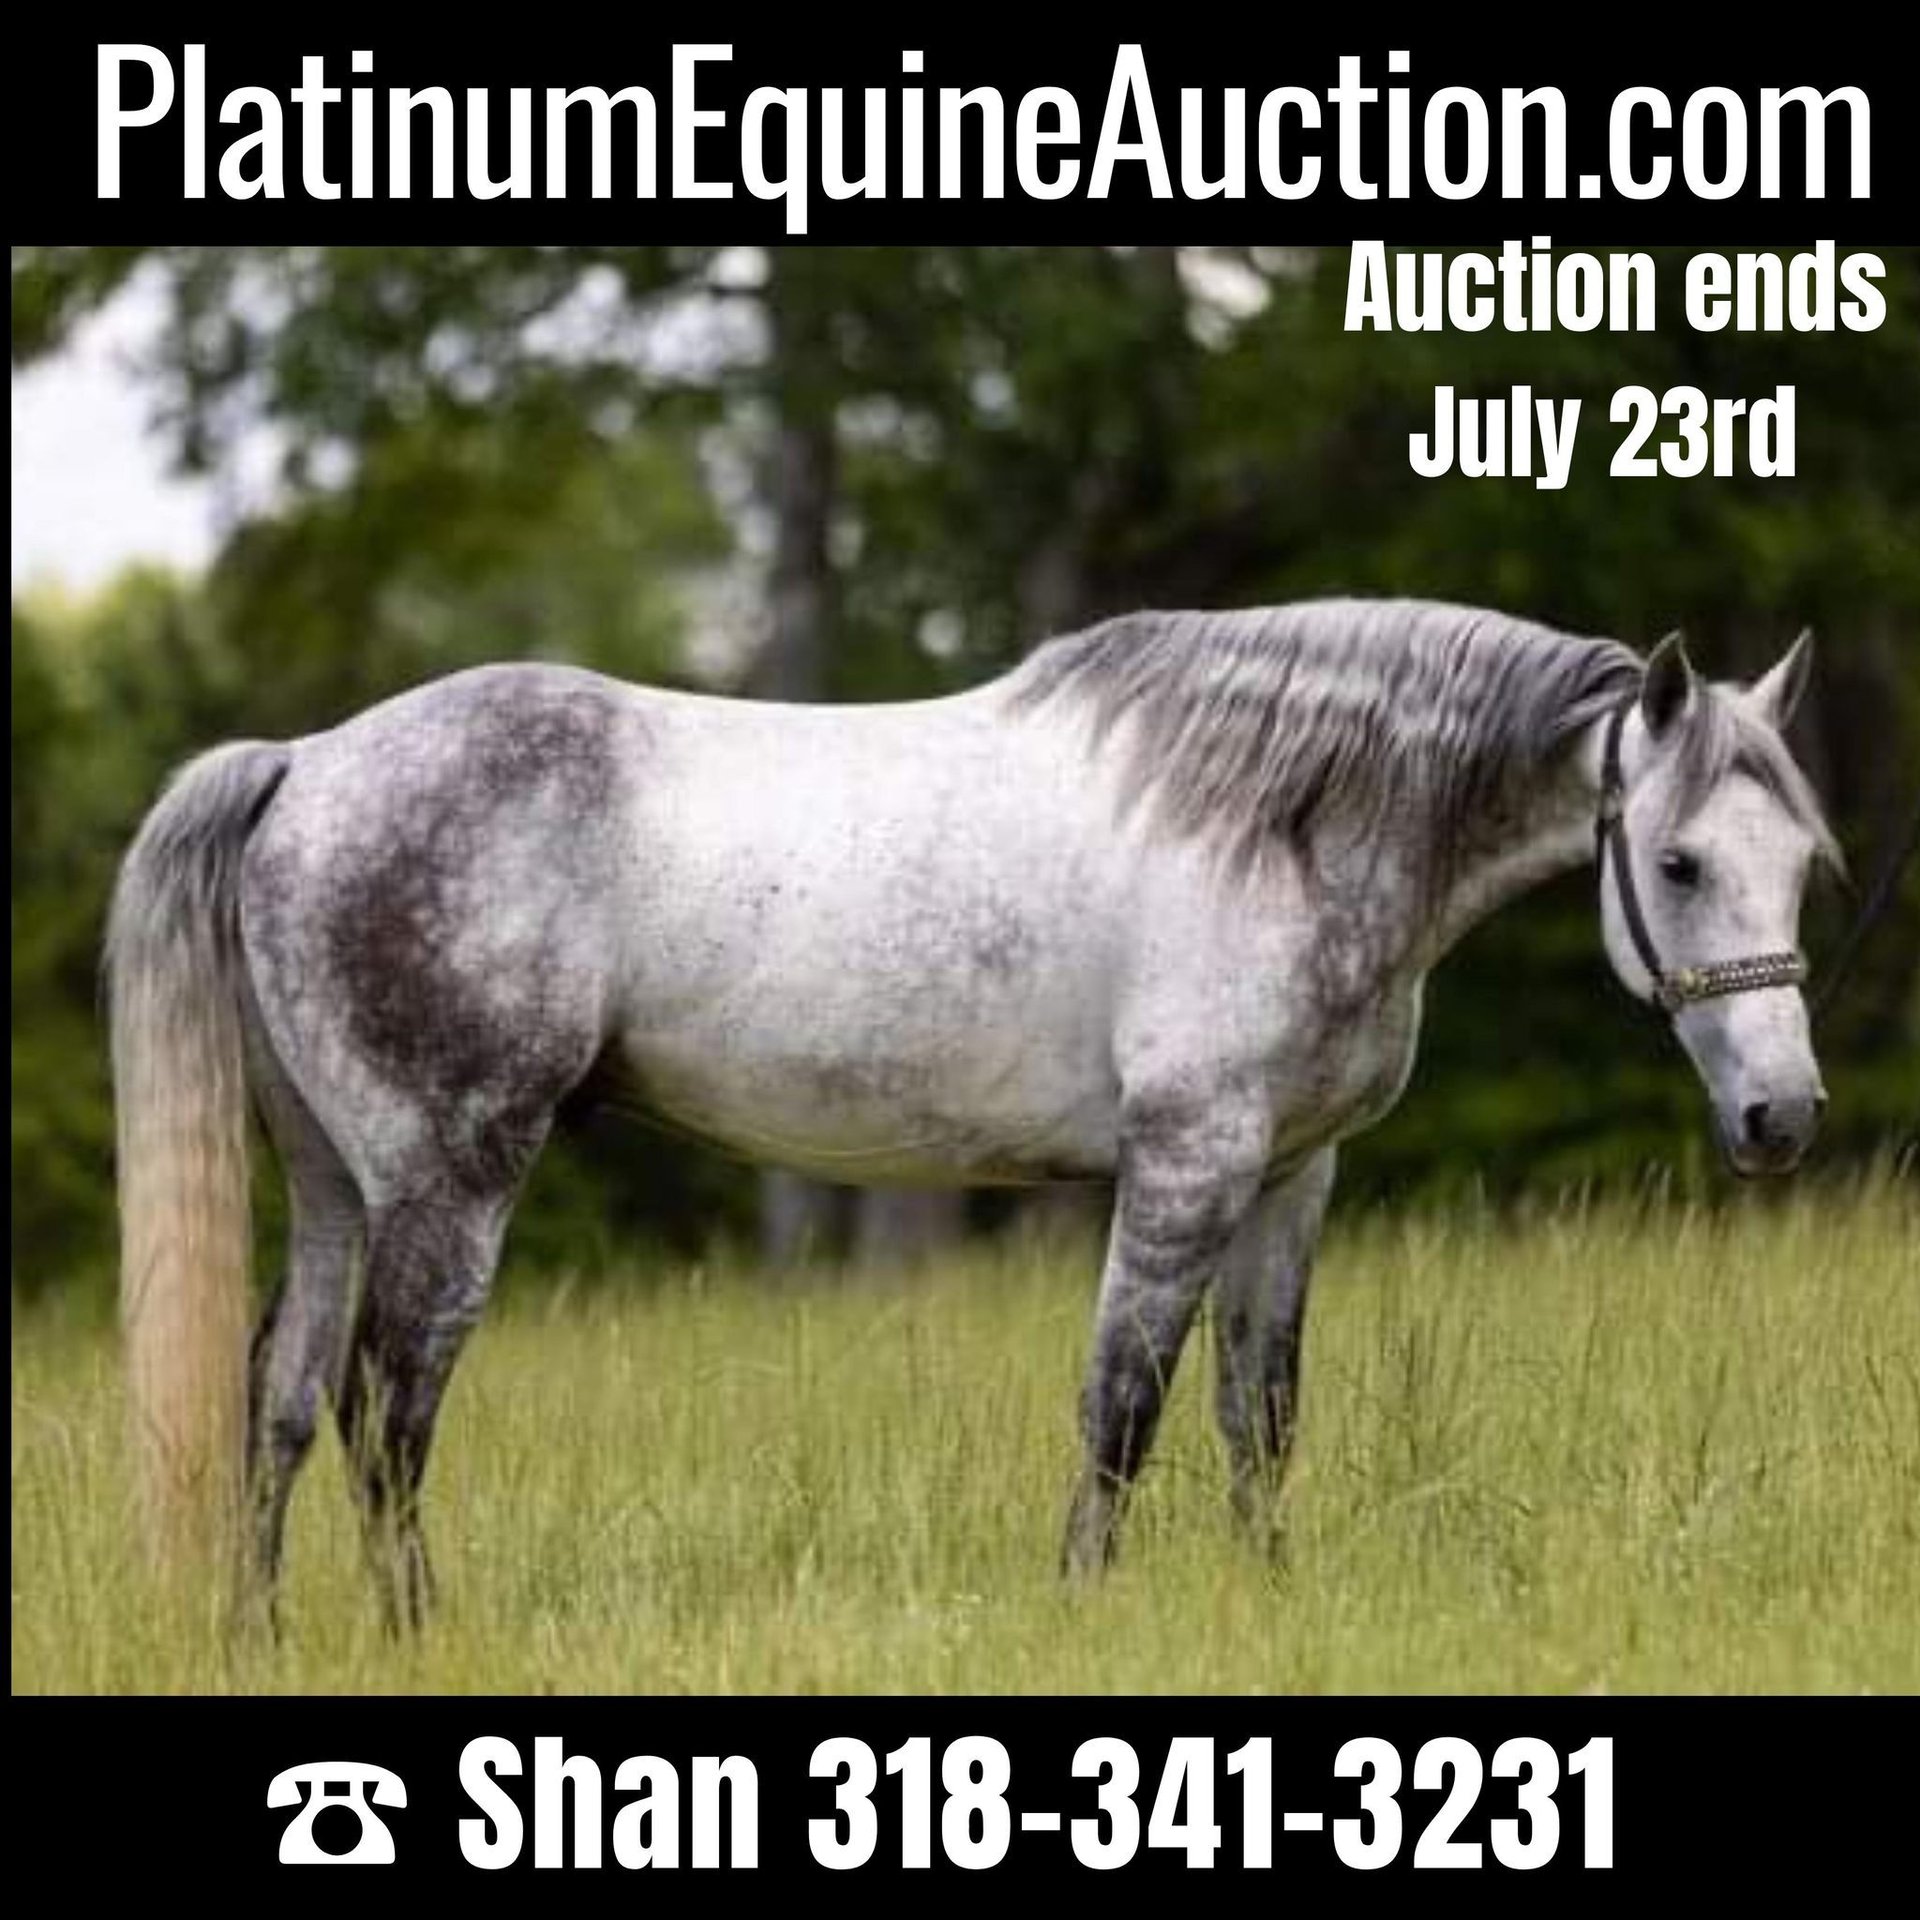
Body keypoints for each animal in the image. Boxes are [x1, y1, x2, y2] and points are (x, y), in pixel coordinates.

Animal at [107, 598, 1838, 1620]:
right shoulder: (1187, 1167)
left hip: (339, 1186)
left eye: (1801, 864)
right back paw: (414, 1631)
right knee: (382, 1413)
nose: (1781, 1119)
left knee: (279, 1401)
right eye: (1678, 861)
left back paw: (262, 1637)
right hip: (448, 1180)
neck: (1280, 821)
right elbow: (1124, 1403)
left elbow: (1259, 1415)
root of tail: (305, 763)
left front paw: (1267, 1598)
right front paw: (1087, 1606)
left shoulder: (1291, 1179)